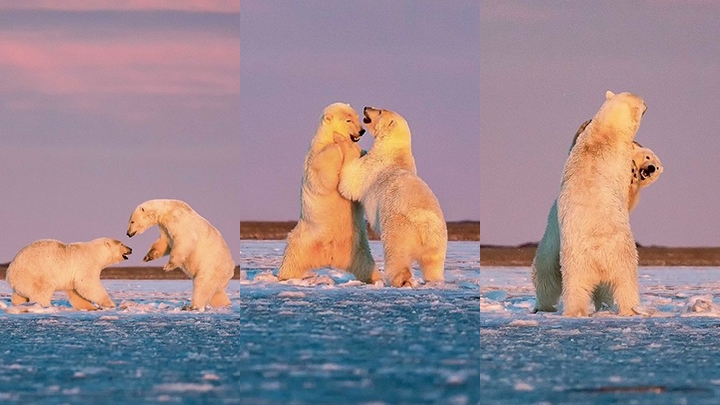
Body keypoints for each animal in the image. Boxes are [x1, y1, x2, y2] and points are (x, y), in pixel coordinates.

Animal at [277, 103, 379, 283]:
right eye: (348, 120)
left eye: (356, 118)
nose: (361, 131)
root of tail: (329, 255)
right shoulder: (315, 155)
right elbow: (324, 172)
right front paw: (339, 141)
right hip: (305, 239)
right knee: (292, 258)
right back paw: (284, 277)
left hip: (357, 246)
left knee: (367, 264)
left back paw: (375, 278)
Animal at [336, 106, 447, 287]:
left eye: (380, 111)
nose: (366, 107)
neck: (394, 152)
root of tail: (424, 220)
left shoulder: (373, 165)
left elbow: (350, 181)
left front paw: (342, 140)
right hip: (438, 238)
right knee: (433, 263)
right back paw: (434, 280)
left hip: (399, 228)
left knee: (397, 254)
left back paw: (401, 280)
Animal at [532, 118, 663, 313]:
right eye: (648, 157)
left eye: (656, 164)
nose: (651, 168)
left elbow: (628, 197)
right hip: (552, 250)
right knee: (547, 276)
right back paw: (544, 306)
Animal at [557, 91, 647, 317]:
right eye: (642, 103)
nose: (647, 105)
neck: (604, 133)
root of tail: (597, 257)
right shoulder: (622, 159)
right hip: (623, 252)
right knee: (626, 282)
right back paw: (631, 309)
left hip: (573, 264)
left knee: (576, 289)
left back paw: (574, 311)